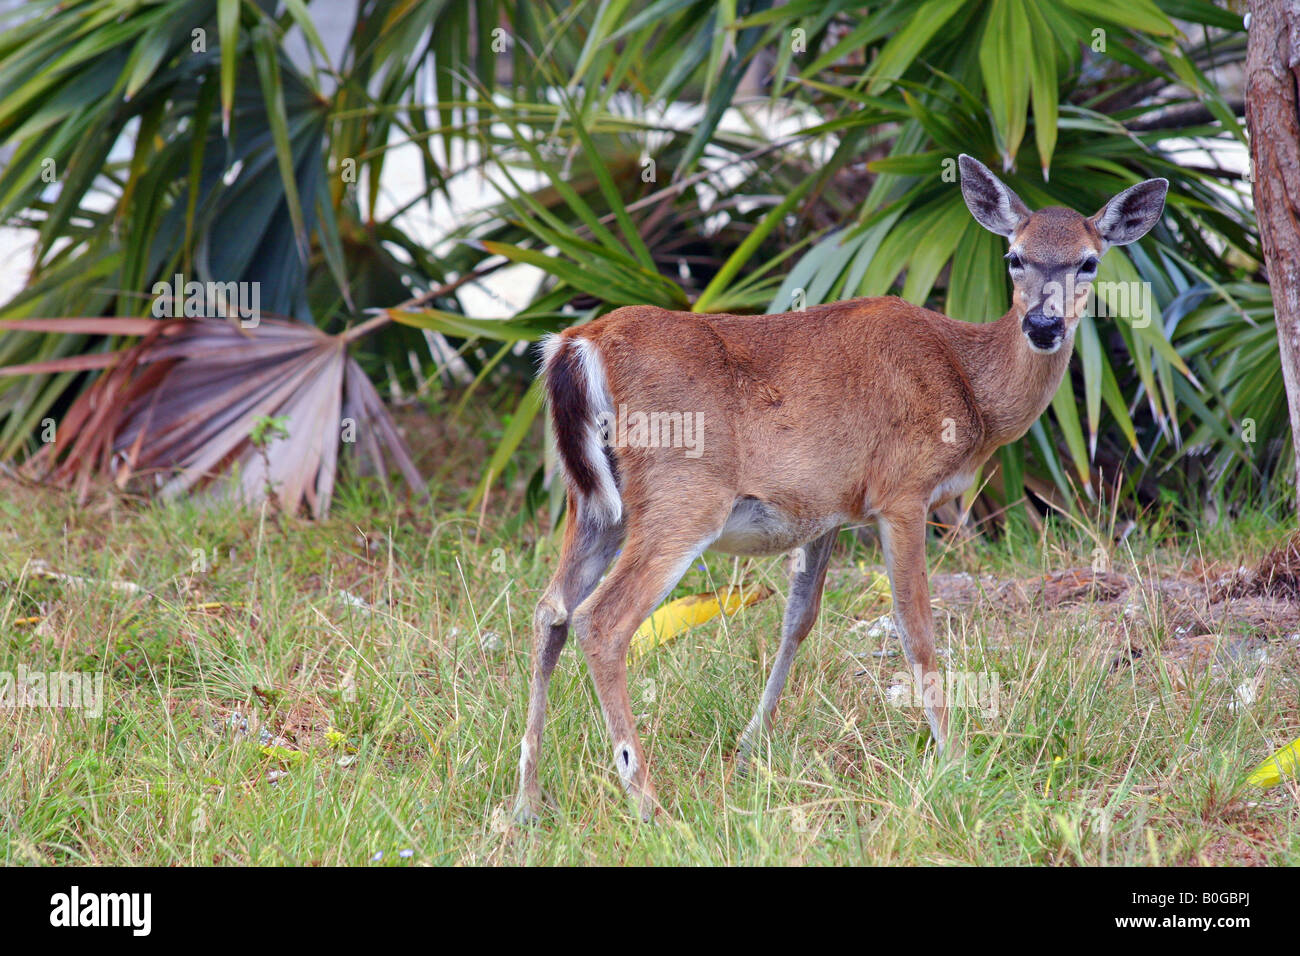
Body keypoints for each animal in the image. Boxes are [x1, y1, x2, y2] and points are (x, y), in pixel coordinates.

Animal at [514, 154, 1167, 822]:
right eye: (1013, 255)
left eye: (1088, 261)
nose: (1042, 324)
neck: (971, 388)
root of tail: (577, 346)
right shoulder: (902, 492)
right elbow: (915, 626)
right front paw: (955, 763)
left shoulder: (825, 511)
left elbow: (798, 620)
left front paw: (749, 749)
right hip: (682, 495)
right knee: (601, 620)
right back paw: (647, 802)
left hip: (594, 503)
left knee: (550, 611)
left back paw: (526, 804)